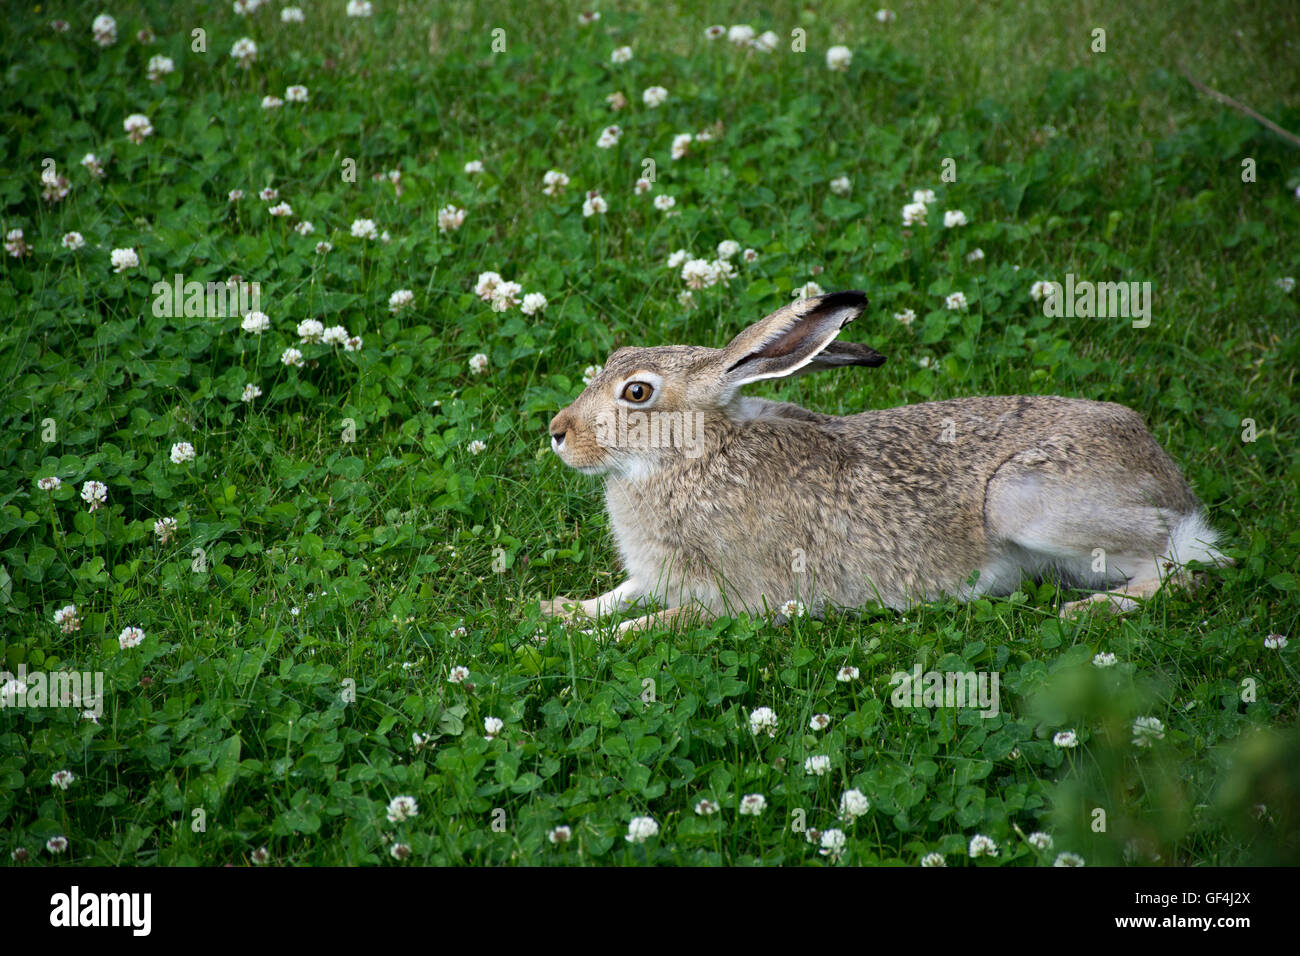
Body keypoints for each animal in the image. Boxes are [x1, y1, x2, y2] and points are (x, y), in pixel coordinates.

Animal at [542, 290, 1230, 635]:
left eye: (637, 393)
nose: (556, 433)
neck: (696, 455)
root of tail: (1163, 471)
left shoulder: (737, 598)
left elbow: (657, 622)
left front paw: (590, 637)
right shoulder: (653, 576)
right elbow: (621, 594)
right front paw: (562, 612)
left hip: (1025, 503)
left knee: (1184, 565)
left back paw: (1089, 610)